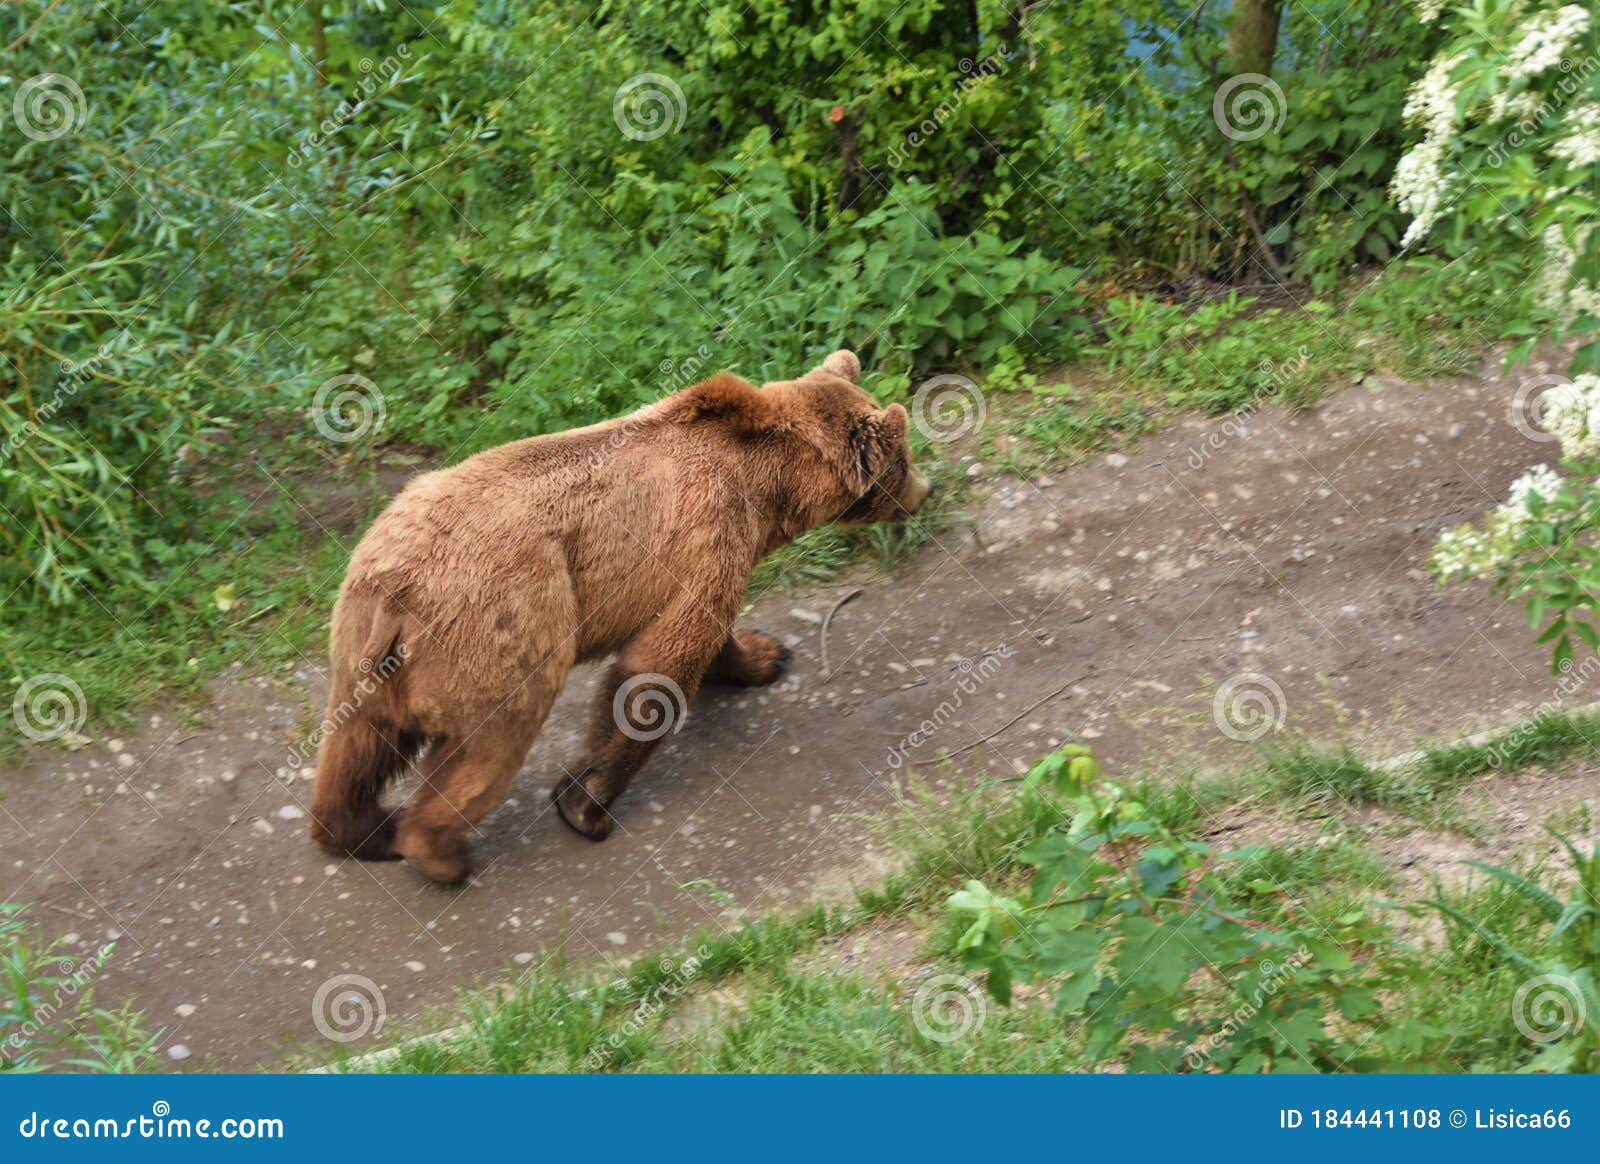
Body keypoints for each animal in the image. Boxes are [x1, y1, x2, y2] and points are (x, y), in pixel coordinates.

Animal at [307, 350, 933, 883]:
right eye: (904, 459)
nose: (926, 491)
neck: (769, 487)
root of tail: (397, 594)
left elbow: (705, 636)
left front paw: (763, 654)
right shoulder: (709, 530)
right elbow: (659, 664)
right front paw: (586, 804)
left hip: (362, 640)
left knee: (356, 744)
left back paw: (363, 831)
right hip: (502, 623)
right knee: (490, 739)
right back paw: (437, 850)